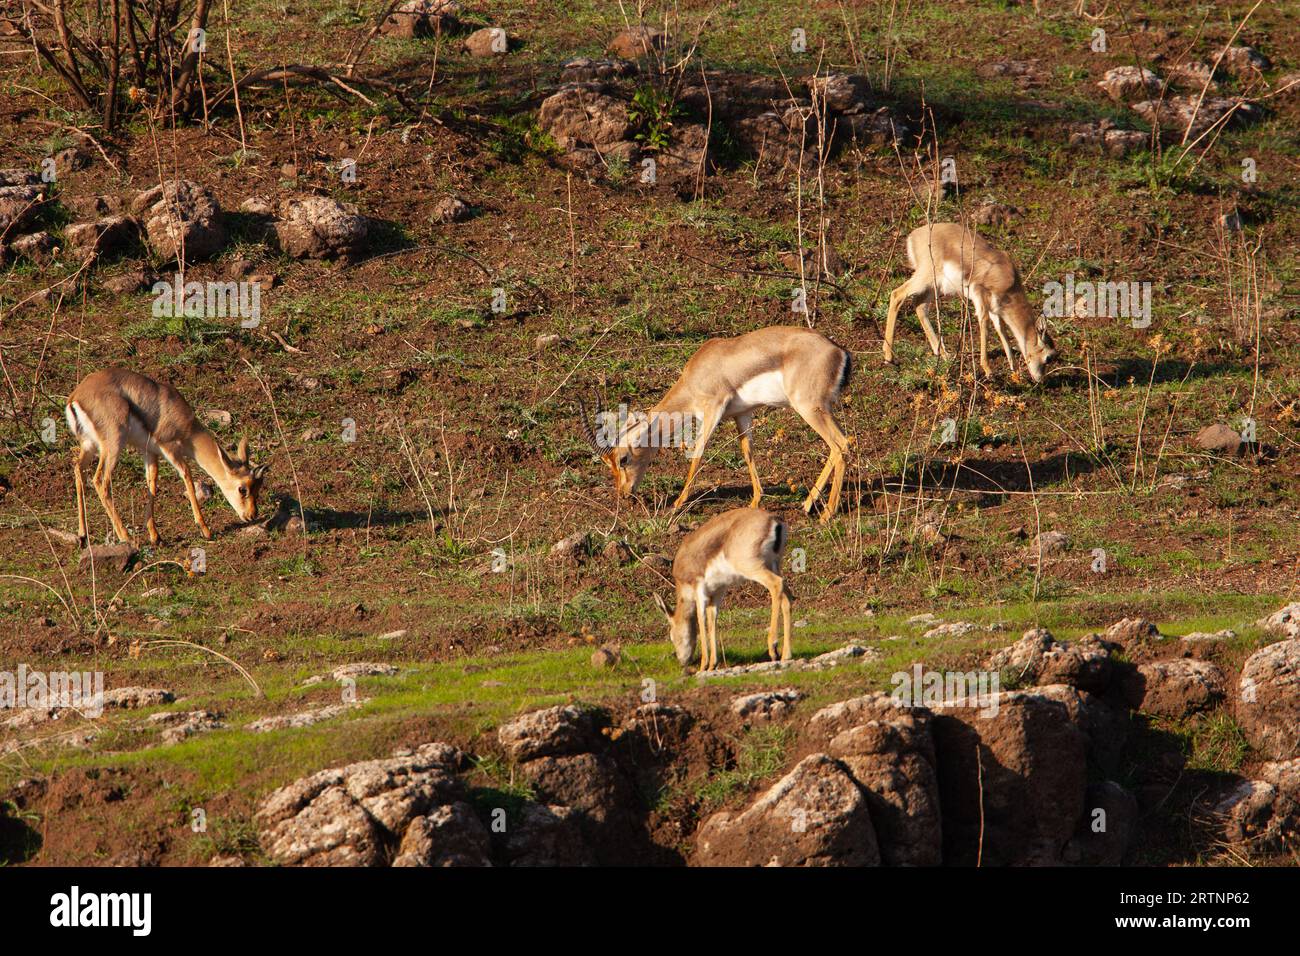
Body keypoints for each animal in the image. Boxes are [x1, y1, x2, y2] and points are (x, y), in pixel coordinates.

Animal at [65, 368, 268, 546]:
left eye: (258, 488)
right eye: (242, 489)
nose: (252, 515)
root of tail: (75, 397)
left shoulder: (150, 452)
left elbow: (152, 484)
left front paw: (155, 536)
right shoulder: (170, 448)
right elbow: (187, 476)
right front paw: (205, 529)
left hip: (89, 446)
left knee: (78, 469)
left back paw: (82, 535)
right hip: (113, 445)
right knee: (100, 481)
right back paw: (126, 538)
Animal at [578, 326, 853, 522]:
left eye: (623, 459)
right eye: (609, 465)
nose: (624, 493)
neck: (697, 374)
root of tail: (839, 351)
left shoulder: (712, 410)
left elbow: (697, 453)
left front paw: (677, 503)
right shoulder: (742, 414)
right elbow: (748, 452)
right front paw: (755, 501)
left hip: (809, 408)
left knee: (840, 444)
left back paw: (827, 514)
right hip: (822, 410)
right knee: (839, 445)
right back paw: (807, 504)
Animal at [652, 507, 794, 670]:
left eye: (671, 636)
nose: (682, 662)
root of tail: (774, 520)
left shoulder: (699, 591)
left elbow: (701, 619)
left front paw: (703, 666)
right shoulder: (717, 592)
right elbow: (712, 619)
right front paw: (712, 664)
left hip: (753, 568)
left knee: (776, 585)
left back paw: (773, 648)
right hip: (774, 565)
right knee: (787, 597)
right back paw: (786, 655)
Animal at [883, 223, 1057, 382]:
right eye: (1048, 357)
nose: (1040, 379)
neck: (1007, 279)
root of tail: (913, 235)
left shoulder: (996, 309)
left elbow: (1001, 330)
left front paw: (1015, 370)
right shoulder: (980, 297)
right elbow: (984, 324)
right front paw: (988, 370)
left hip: (935, 287)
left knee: (919, 306)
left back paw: (944, 354)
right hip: (925, 278)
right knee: (897, 294)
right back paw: (889, 357)